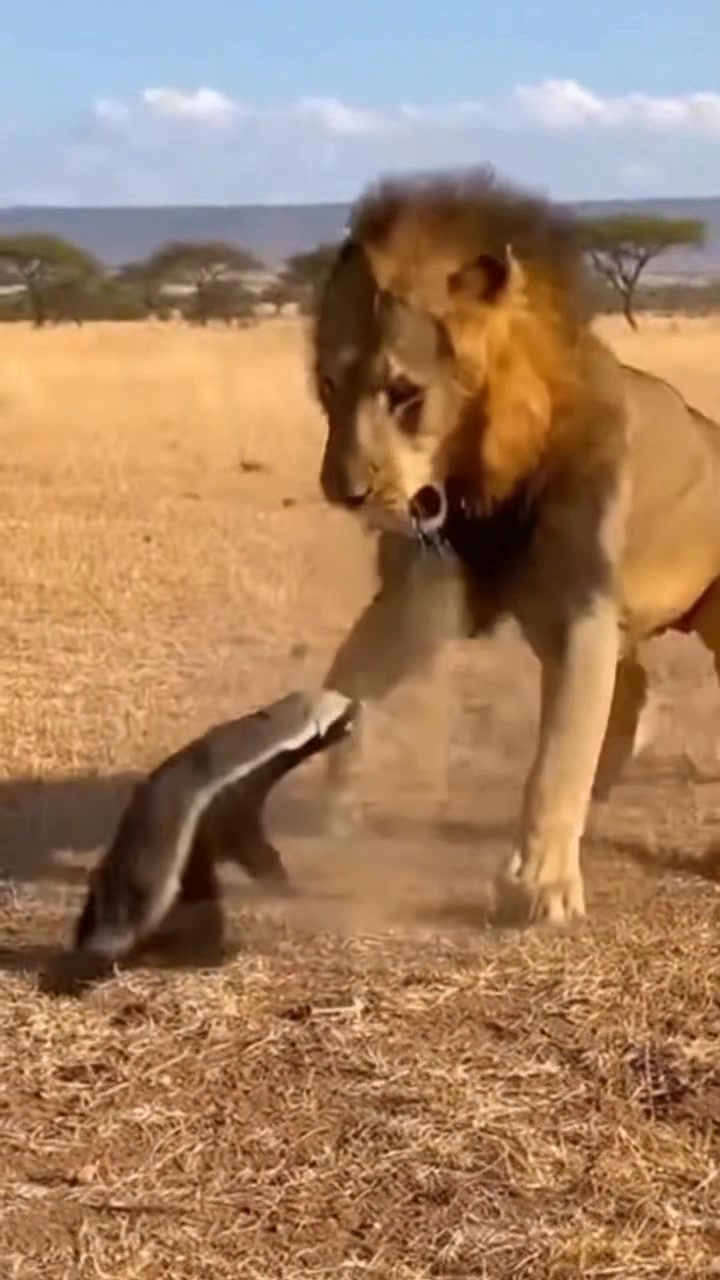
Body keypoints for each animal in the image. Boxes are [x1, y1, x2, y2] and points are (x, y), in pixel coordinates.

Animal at [310, 168, 720, 925]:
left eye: (404, 392)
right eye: (329, 383)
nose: (343, 491)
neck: (477, 480)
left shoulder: (583, 604)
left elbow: (557, 752)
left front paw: (540, 884)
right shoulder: (423, 594)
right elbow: (347, 682)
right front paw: (332, 804)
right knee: (635, 689)